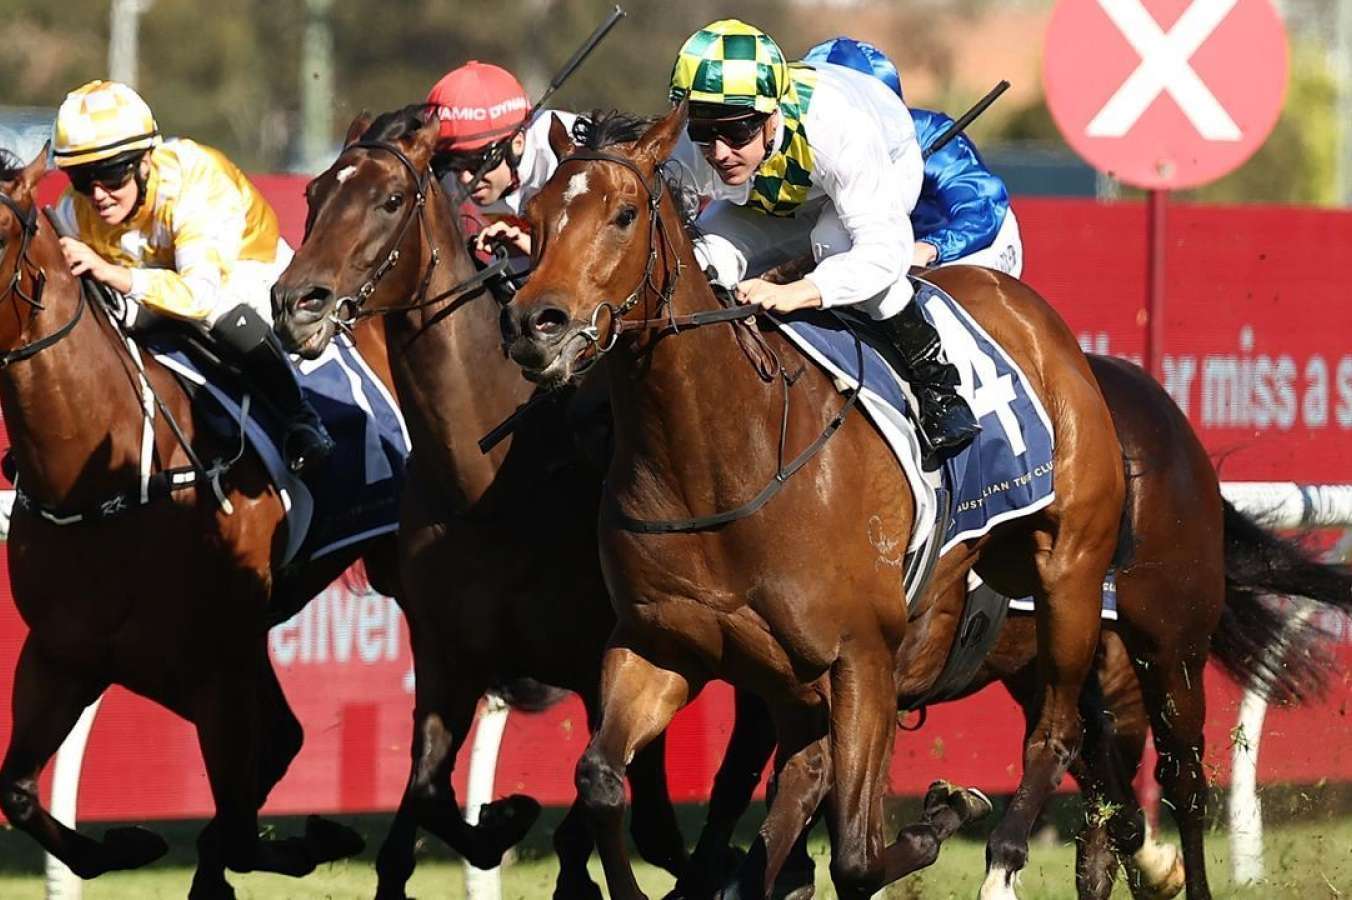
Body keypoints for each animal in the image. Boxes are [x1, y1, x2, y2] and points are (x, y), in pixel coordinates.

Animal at [0, 146, 402, 900]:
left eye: (2, 231)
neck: (106, 477)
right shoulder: (64, 653)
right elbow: (17, 791)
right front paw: (128, 842)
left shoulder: (216, 668)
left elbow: (243, 822)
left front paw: (314, 838)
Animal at [271, 105, 722, 900]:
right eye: (314, 194)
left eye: (390, 200)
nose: (297, 305)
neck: (486, 483)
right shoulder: (446, 656)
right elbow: (423, 798)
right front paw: (503, 819)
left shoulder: (607, 657)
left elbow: (600, 813)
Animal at [691, 352, 1349, 900]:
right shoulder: (778, 687)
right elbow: (741, 788)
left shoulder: (863, 675)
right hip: (1052, 662)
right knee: (1101, 784)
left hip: (1167, 642)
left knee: (1178, 776)